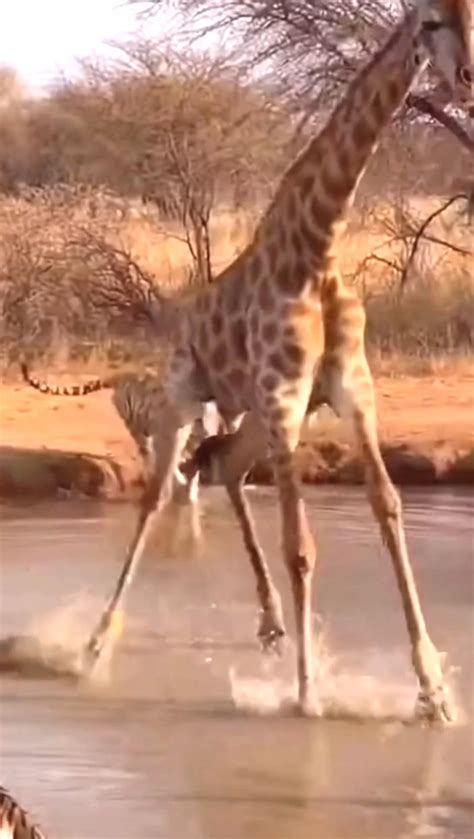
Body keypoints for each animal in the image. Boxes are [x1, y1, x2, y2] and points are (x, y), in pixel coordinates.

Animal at [20, 363, 221, 505]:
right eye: (199, 417)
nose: (206, 431)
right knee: (146, 453)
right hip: (135, 425)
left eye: (213, 418)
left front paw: (191, 496)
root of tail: (123, 374)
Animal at [91, 0, 472, 720]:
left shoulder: (351, 391)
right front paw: (308, 695)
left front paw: (434, 692)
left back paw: (269, 624)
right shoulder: (286, 397)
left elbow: (389, 509)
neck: (315, 251)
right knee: (157, 494)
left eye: (472, 15)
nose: (465, 78)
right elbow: (301, 545)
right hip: (187, 396)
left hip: (251, 415)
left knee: (225, 468)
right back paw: (93, 647)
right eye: (432, 23)